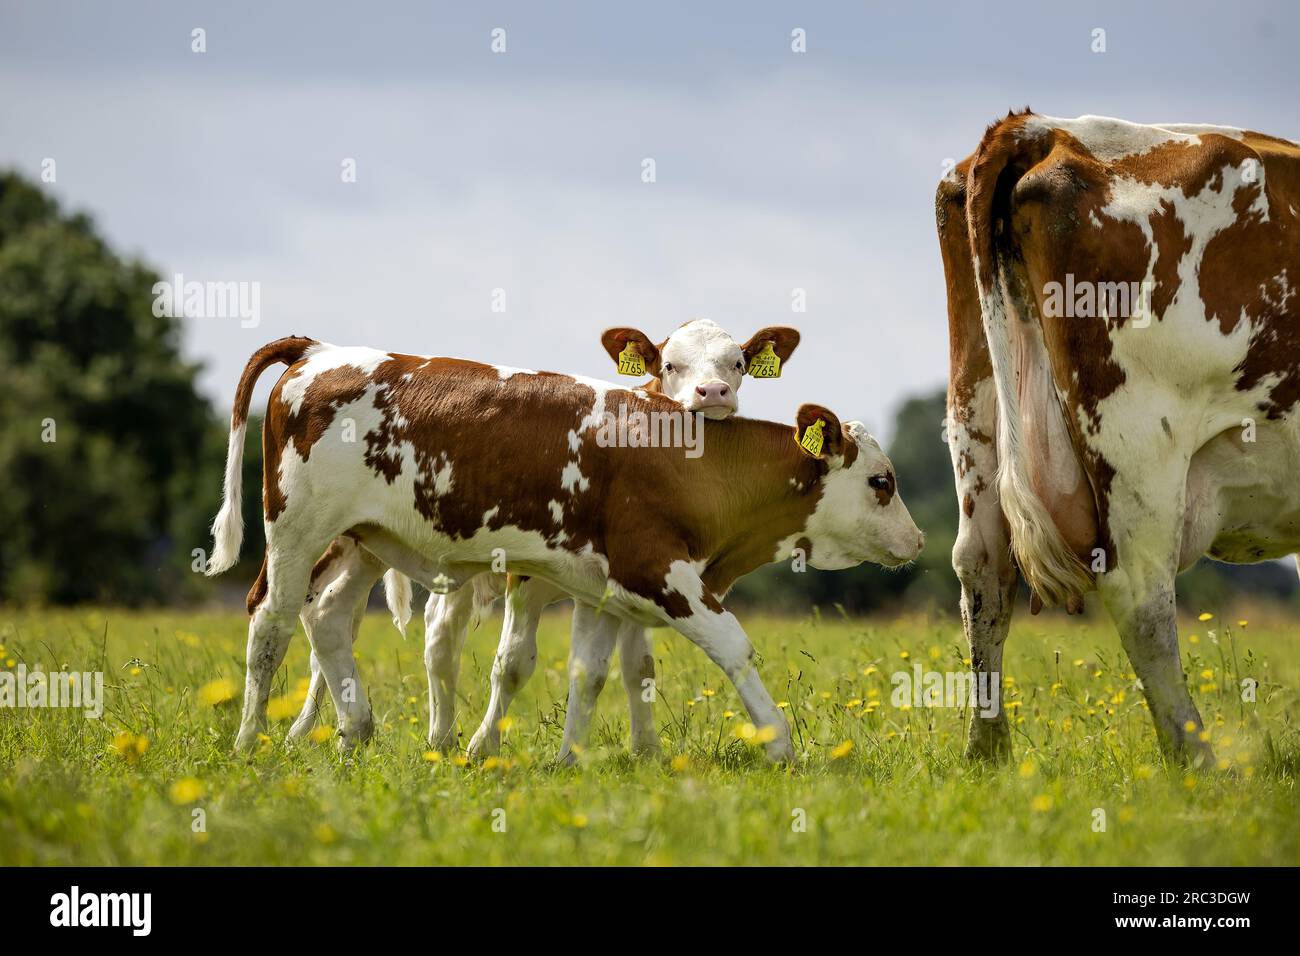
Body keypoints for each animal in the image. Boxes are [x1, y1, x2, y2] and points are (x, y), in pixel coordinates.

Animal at [206, 337, 923, 760]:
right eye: (882, 482)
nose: (916, 541)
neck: (684, 457)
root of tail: (320, 348)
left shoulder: (607, 590)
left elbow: (590, 671)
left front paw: (571, 759)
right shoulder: (661, 572)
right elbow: (733, 647)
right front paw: (779, 744)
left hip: (366, 539)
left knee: (328, 618)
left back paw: (356, 731)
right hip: (297, 530)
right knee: (271, 622)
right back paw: (249, 742)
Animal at [938, 111, 1300, 764]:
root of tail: (1044, 129)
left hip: (973, 414)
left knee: (982, 568)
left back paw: (988, 752)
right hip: (1140, 443)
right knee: (1141, 595)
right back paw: (1196, 757)